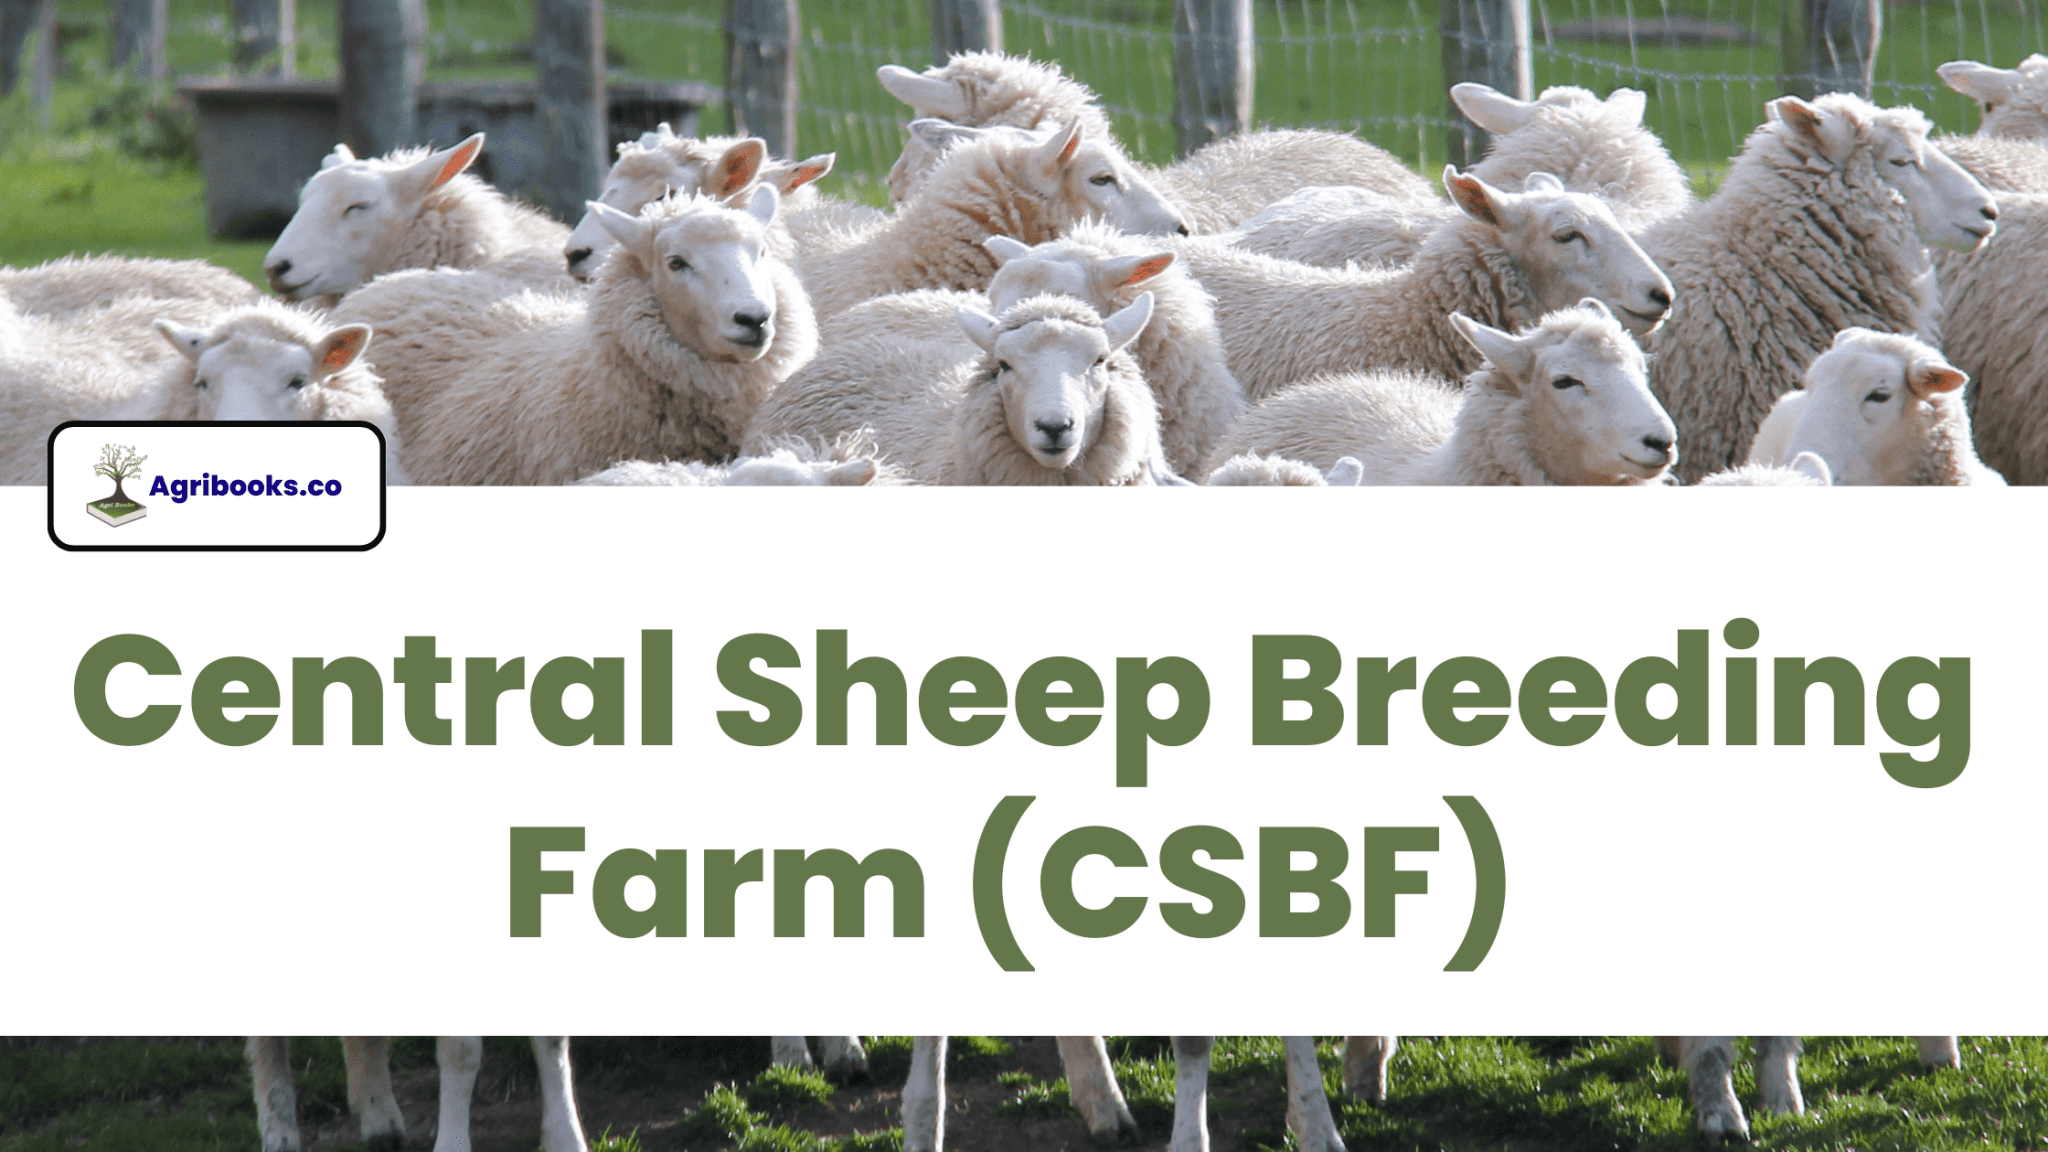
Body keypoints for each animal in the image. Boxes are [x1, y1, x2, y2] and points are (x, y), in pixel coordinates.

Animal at [247, 1036, 586, 1152]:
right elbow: (461, 1050)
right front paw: (453, 1145)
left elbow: (552, 1040)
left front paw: (566, 1139)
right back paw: (280, 1133)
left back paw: (380, 1120)